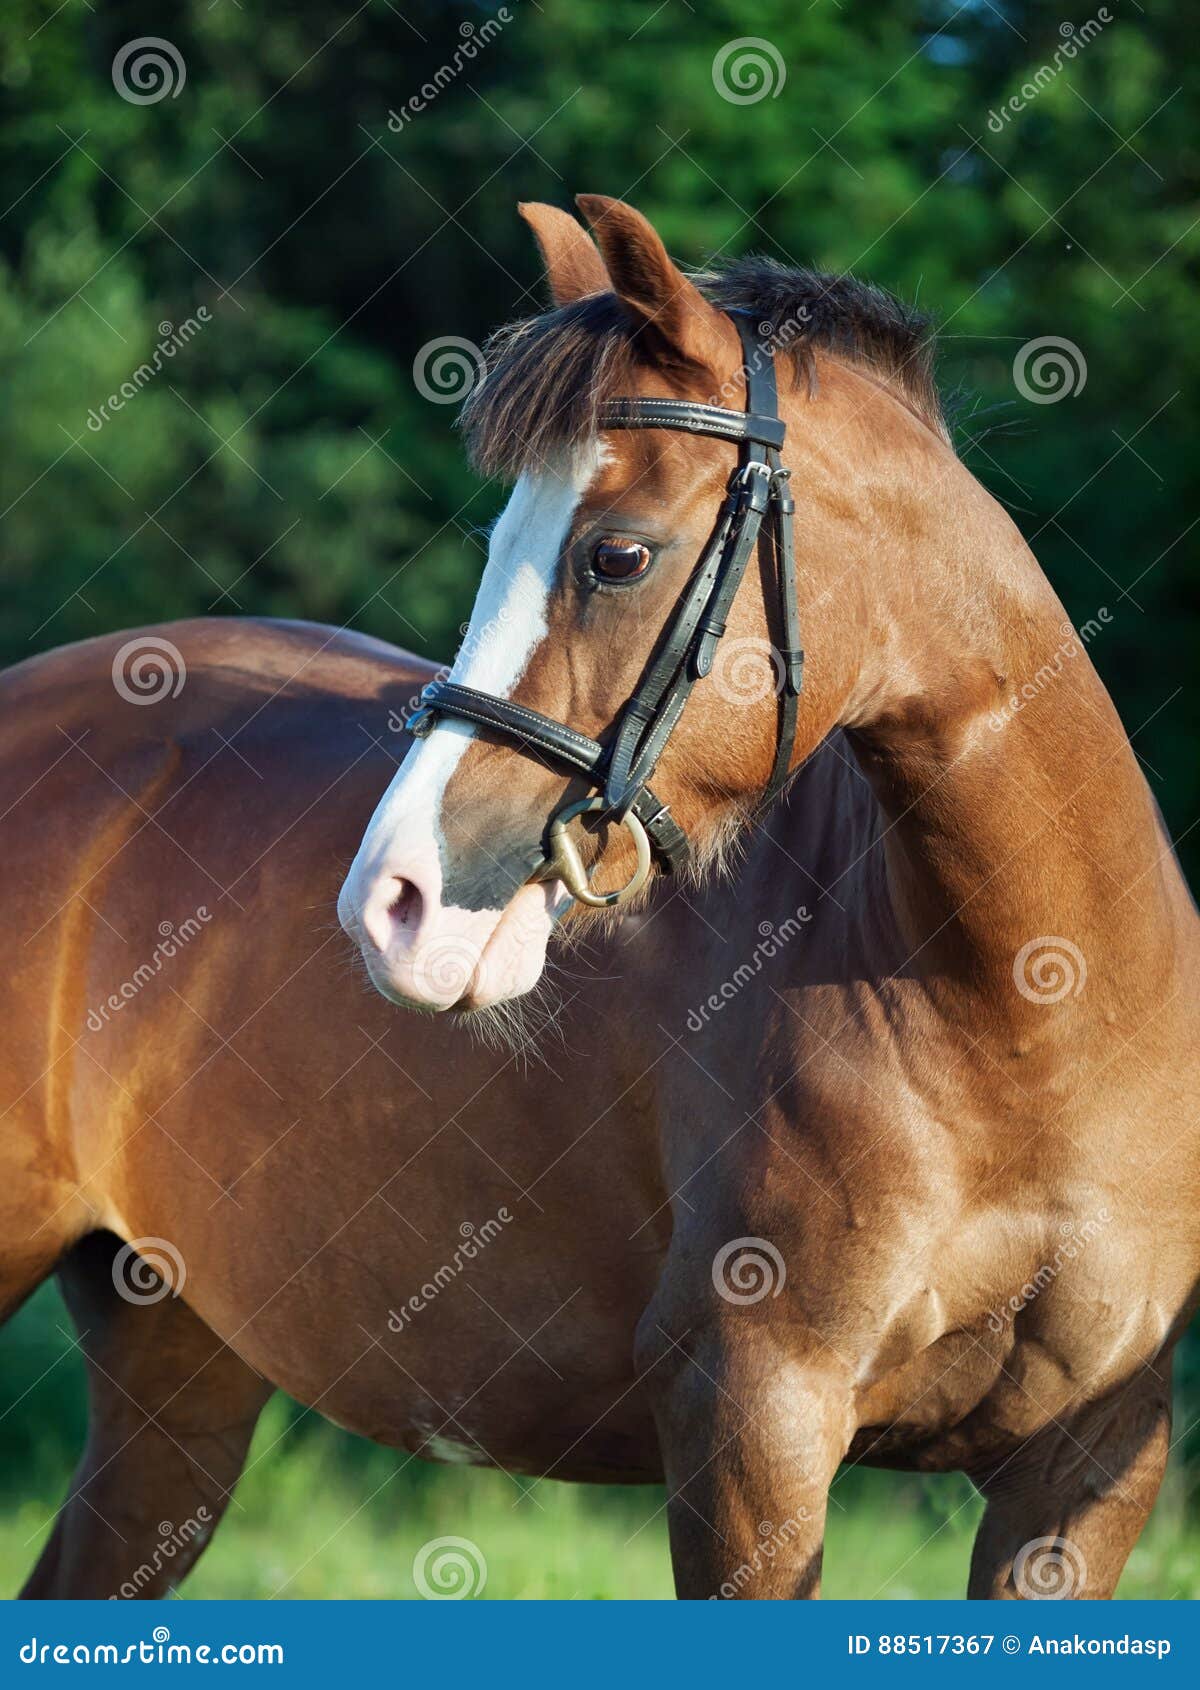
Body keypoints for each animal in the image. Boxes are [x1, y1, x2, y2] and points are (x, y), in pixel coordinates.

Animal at [0, 195, 1195, 1603]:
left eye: (616, 555)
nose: (393, 903)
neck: (1025, 1015)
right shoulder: (750, 1429)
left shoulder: (1088, 1467)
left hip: (172, 1362)